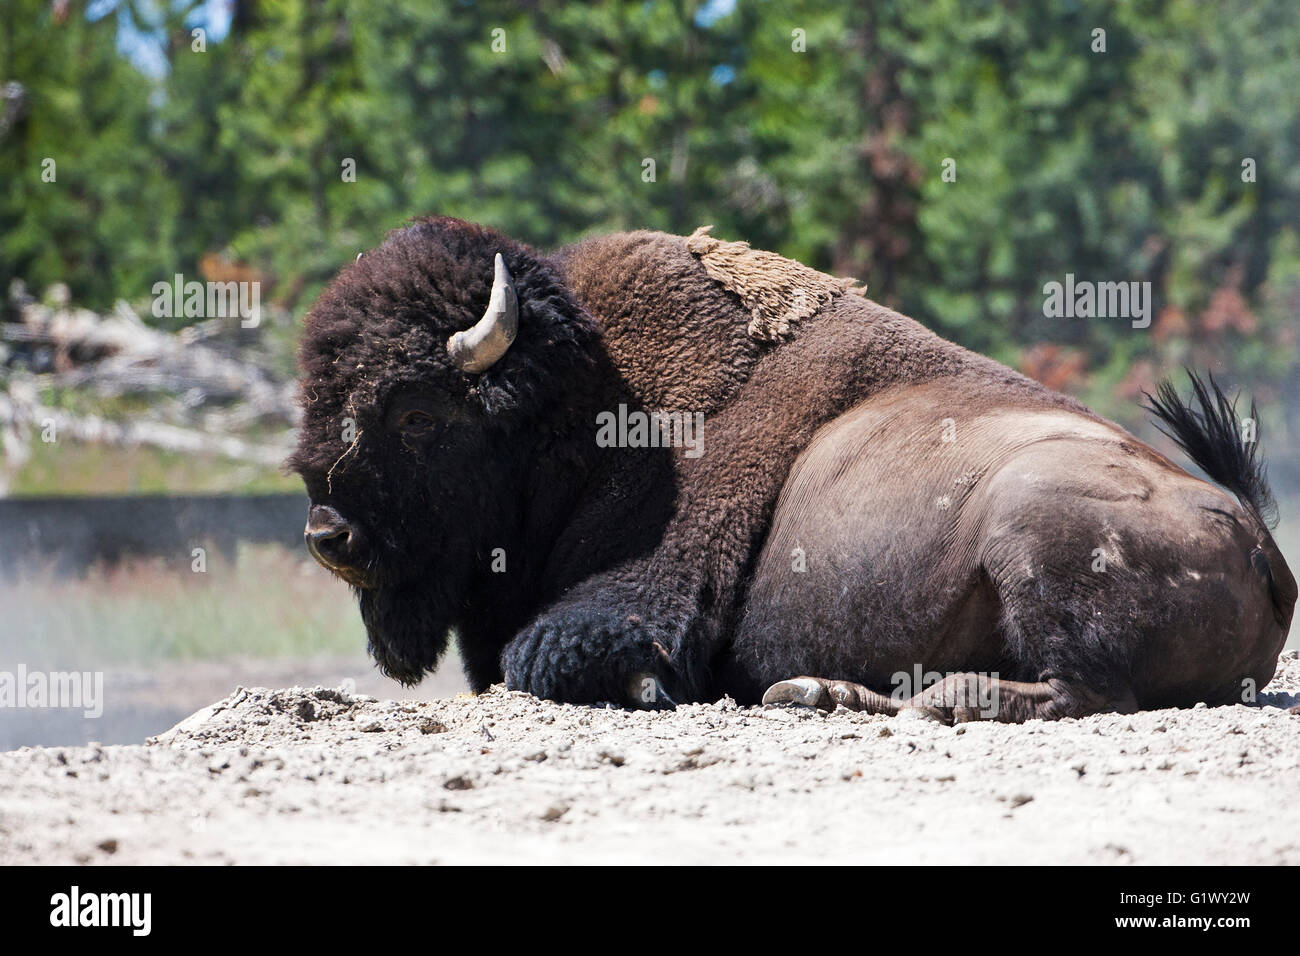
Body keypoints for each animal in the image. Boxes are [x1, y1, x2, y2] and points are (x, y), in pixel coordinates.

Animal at [288, 216, 1296, 722]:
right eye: (315, 394)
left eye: (416, 414)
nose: (327, 534)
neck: (588, 407)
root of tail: (1263, 545)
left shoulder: (640, 590)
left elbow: (553, 657)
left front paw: (644, 688)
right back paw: (823, 692)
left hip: (1028, 517)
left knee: (1086, 689)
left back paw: (936, 701)